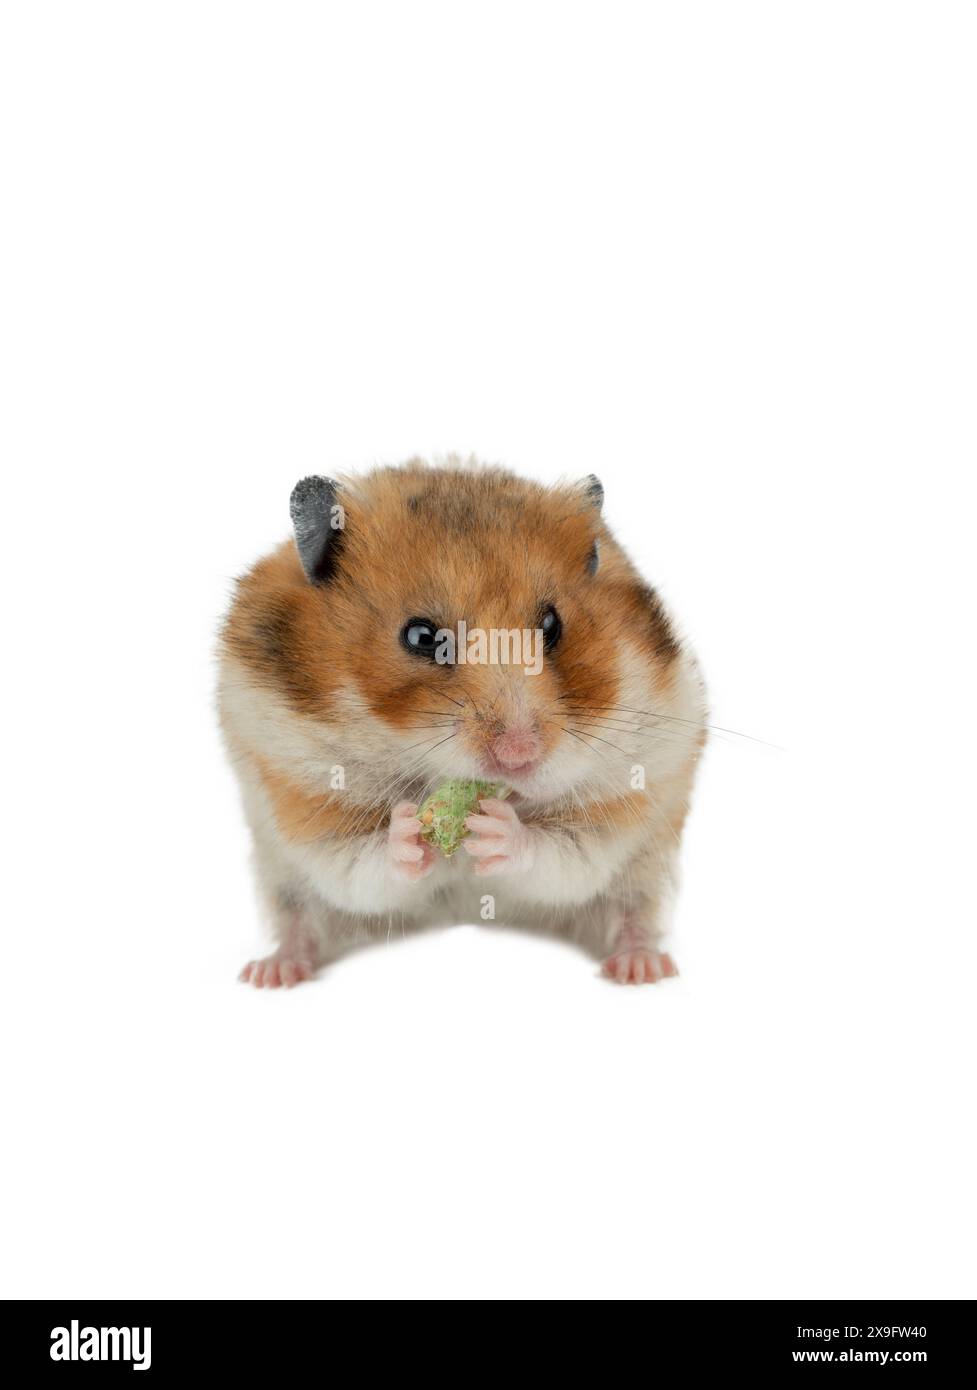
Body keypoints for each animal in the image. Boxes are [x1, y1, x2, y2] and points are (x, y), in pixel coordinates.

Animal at [218, 458, 706, 987]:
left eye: (552, 626)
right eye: (422, 637)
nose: (520, 756)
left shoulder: (622, 801)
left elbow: (565, 852)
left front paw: (494, 828)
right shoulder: (299, 797)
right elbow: (357, 864)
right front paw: (412, 830)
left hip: (646, 868)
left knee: (631, 912)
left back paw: (642, 968)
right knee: (301, 920)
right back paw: (271, 973)